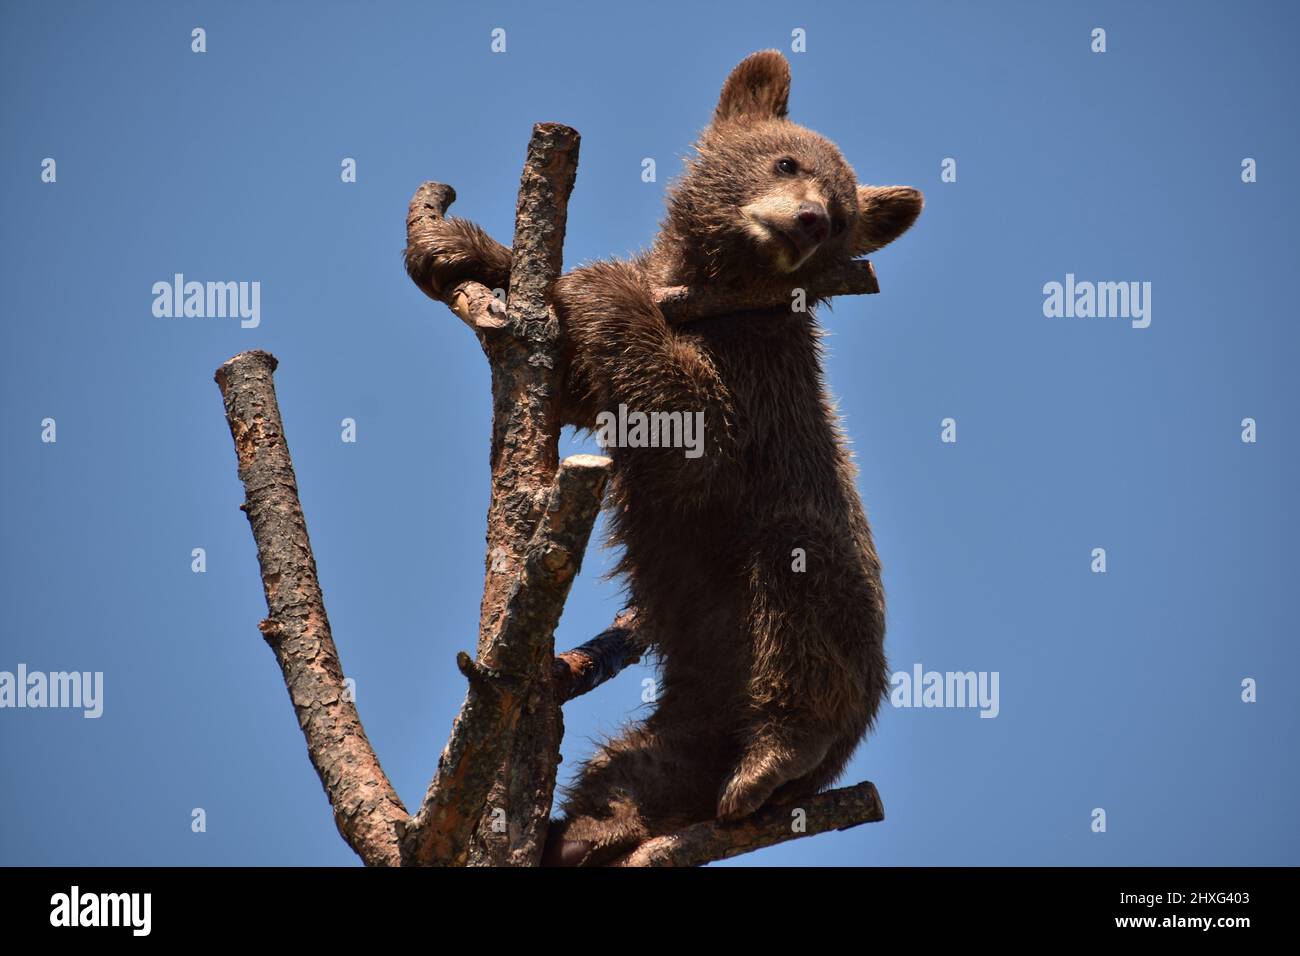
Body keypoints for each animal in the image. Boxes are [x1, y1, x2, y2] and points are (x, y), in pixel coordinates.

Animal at [420, 50, 922, 865]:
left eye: (844, 214)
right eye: (787, 160)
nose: (810, 219)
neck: (714, 291)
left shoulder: (757, 378)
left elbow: (691, 431)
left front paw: (601, 280)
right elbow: (581, 381)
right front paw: (459, 248)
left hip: (817, 594)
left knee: (802, 590)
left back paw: (774, 756)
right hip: (686, 720)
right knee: (634, 766)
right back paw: (585, 828)